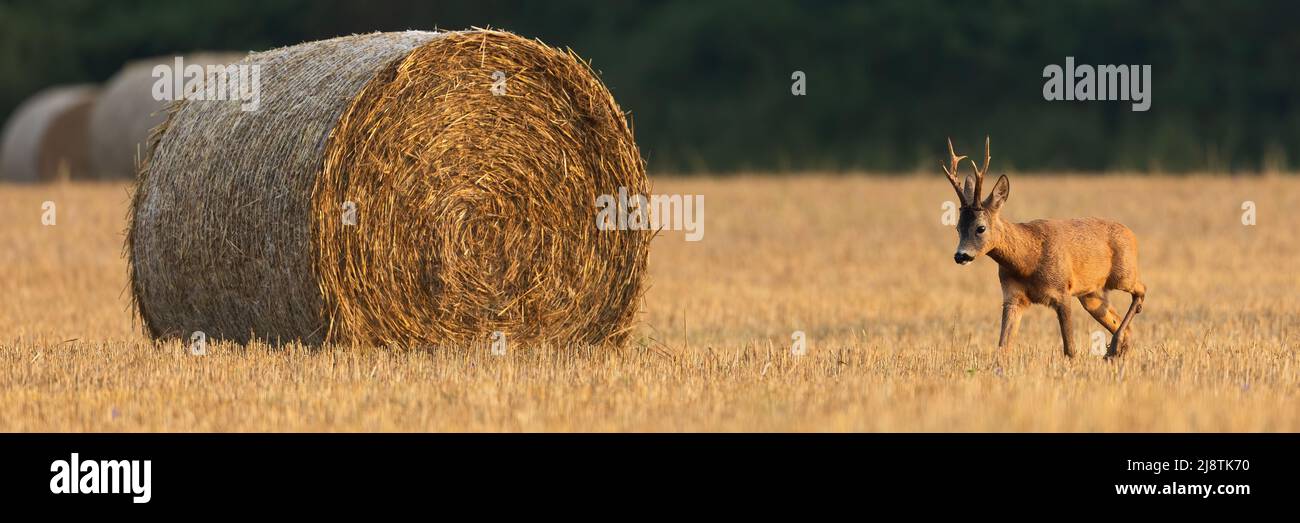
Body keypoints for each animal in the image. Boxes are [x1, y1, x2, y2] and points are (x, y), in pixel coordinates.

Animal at [941, 137, 1146, 359]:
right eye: (957, 228)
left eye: (981, 228)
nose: (960, 256)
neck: (1028, 260)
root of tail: (1131, 234)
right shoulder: (1013, 297)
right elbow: (1003, 346)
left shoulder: (1062, 291)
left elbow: (1070, 349)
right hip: (1091, 294)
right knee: (1121, 322)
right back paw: (1114, 354)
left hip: (1123, 274)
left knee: (1141, 289)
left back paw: (1115, 345)